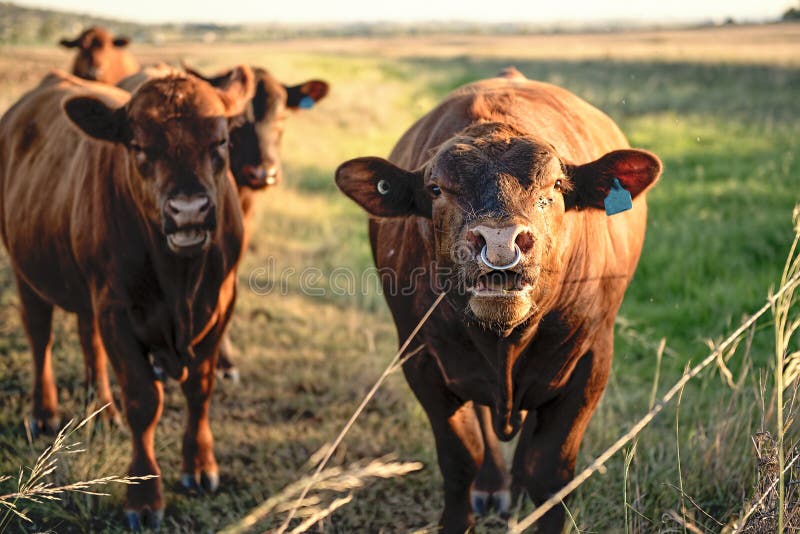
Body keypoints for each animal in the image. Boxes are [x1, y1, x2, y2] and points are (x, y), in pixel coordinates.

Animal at [0, 67, 253, 529]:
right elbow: (142, 400)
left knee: (89, 341)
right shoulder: (117, 310)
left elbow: (200, 389)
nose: (188, 210)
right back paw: (43, 412)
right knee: (40, 336)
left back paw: (102, 410)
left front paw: (199, 465)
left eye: (221, 141)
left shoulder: (222, 302)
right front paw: (144, 495)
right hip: (26, 270)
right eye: (138, 147)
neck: (180, 282)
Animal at [335, 67, 662, 533]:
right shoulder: (422, 361)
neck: (504, 344)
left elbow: (551, 471)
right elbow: (460, 459)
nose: (501, 242)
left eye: (556, 184)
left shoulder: (591, 360)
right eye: (435, 188)